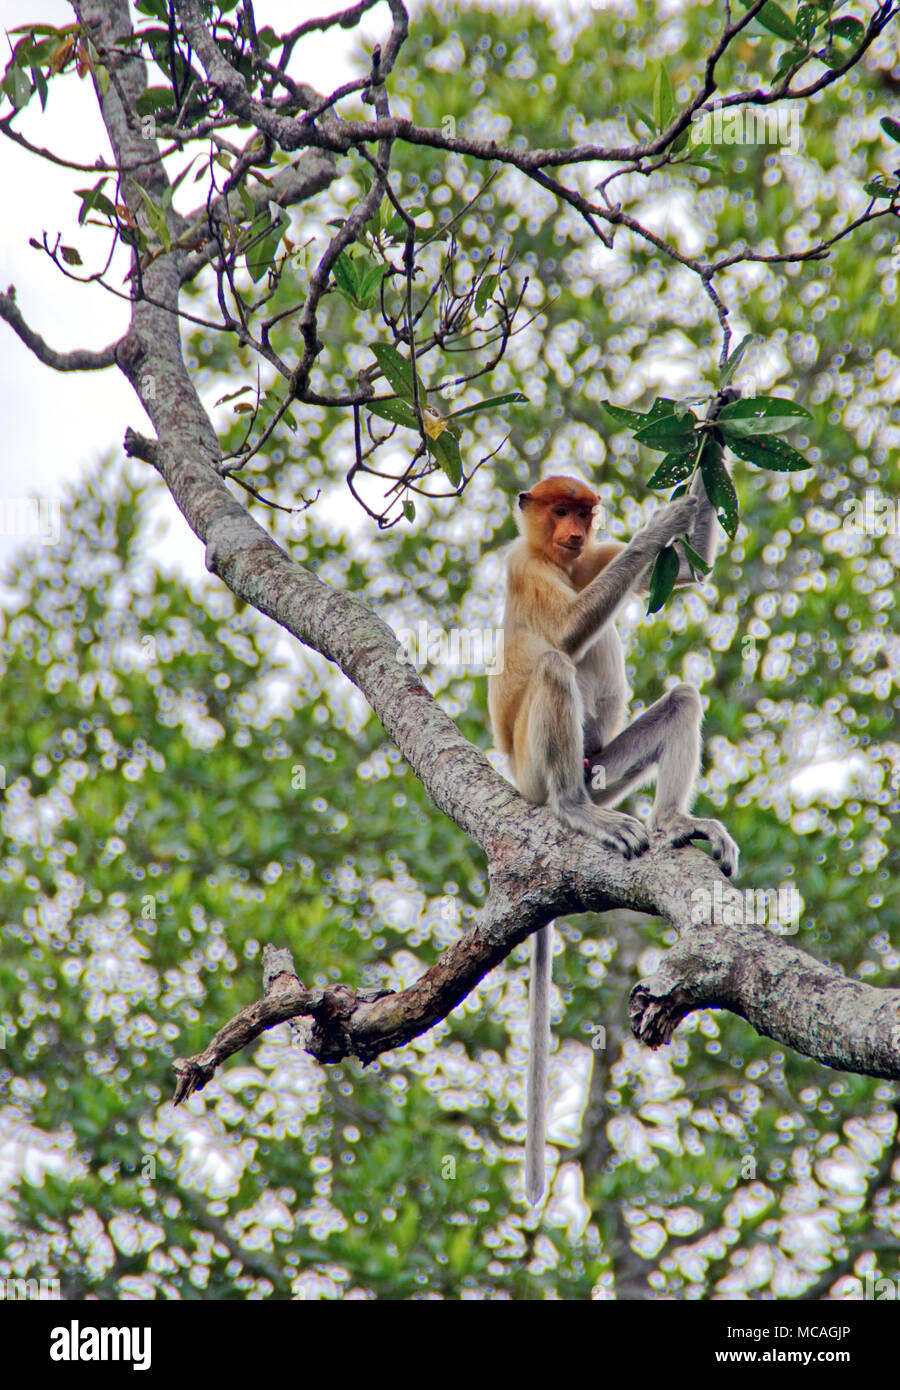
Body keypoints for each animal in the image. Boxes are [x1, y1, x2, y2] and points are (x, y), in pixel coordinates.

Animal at [488, 470, 739, 1204]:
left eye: (585, 513)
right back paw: (578, 812)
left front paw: (709, 452)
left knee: (681, 701)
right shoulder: (525, 565)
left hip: (607, 766)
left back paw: (673, 824)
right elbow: (568, 631)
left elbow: (688, 572)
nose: (574, 532)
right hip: (538, 767)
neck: (557, 556)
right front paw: (665, 518)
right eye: (559, 509)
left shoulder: (594, 558)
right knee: (552, 663)